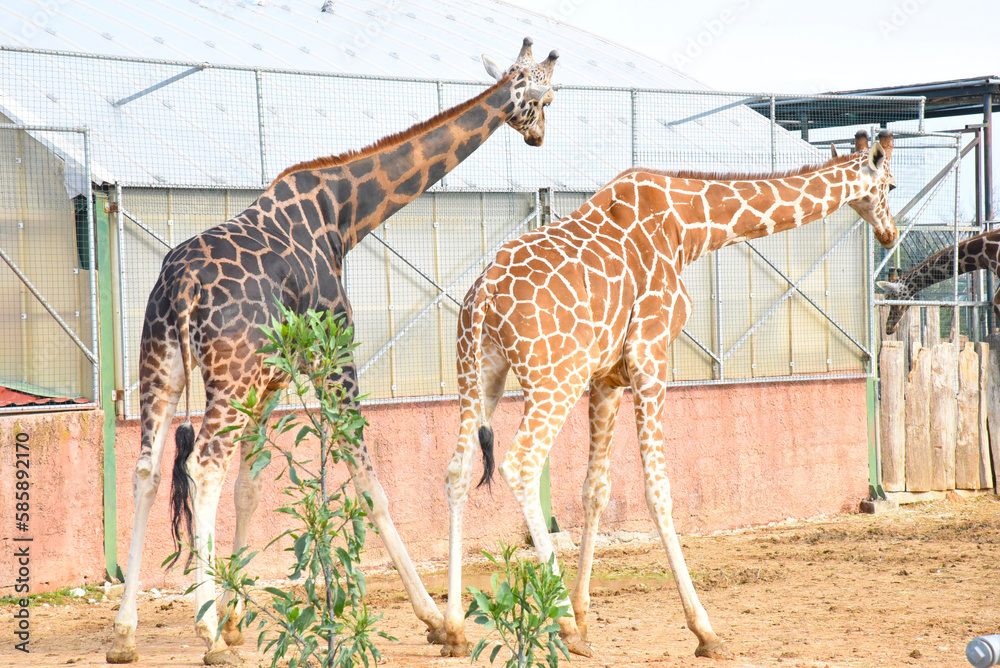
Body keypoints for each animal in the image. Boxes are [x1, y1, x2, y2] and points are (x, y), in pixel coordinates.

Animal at [106, 38, 559, 665]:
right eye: (544, 95)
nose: (539, 136)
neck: (345, 213)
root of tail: (182, 286)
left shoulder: (271, 382)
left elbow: (251, 489)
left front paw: (238, 616)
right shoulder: (333, 360)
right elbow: (370, 485)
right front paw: (436, 621)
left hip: (164, 368)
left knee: (148, 470)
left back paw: (126, 631)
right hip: (226, 376)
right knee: (201, 468)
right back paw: (205, 634)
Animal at [440, 130, 899, 658]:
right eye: (891, 184)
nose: (890, 234)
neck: (691, 227)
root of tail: (485, 294)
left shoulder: (606, 377)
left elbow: (595, 489)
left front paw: (585, 615)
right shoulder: (649, 357)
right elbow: (658, 490)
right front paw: (704, 631)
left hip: (477, 375)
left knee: (457, 471)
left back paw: (453, 629)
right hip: (554, 377)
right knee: (521, 464)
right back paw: (561, 627)